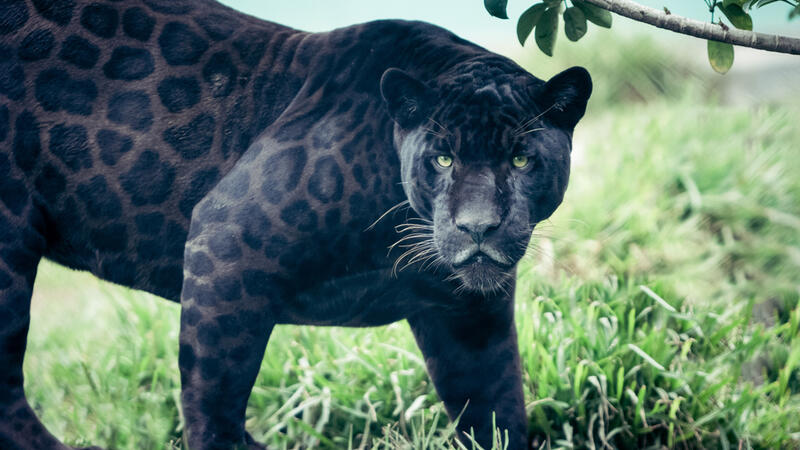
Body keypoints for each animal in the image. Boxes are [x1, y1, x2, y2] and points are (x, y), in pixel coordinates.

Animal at [0, 0, 592, 448]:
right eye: (443, 159)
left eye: (521, 159)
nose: (478, 228)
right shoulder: (226, 244)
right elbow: (213, 399)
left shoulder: (469, 318)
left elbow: (498, 413)